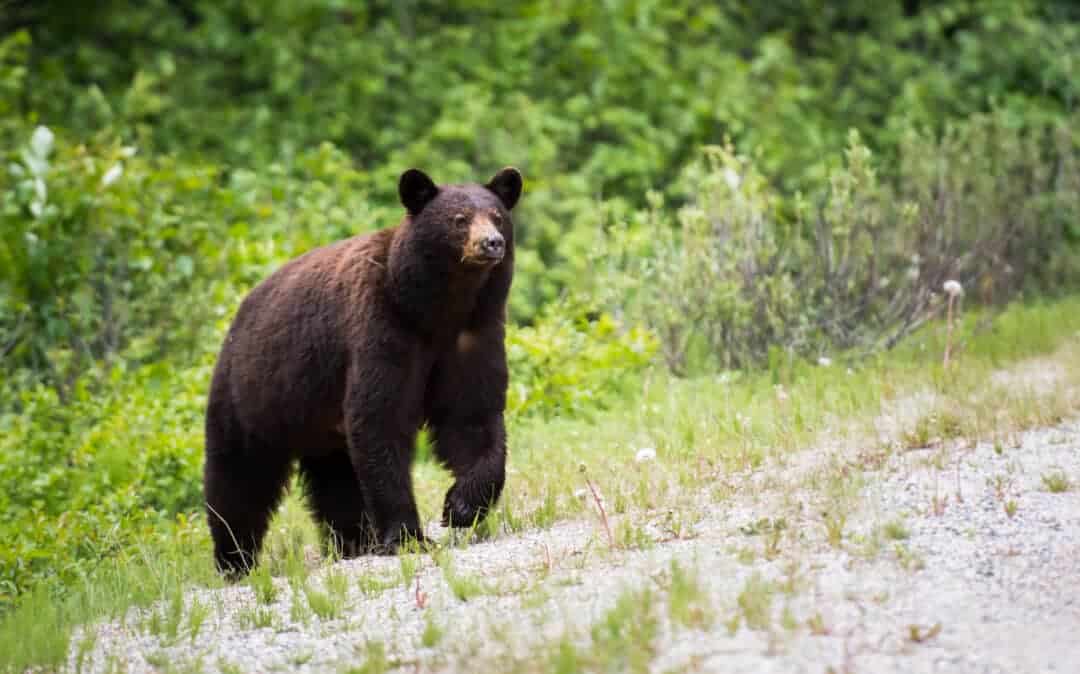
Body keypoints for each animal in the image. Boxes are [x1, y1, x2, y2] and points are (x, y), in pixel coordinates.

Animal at [202, 167, 522, 577]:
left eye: (497, 216)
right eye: (459, 219)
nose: (491, 243)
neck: (435, 309)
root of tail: (236, 317)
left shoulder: (473, 336)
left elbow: (472, 417)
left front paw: (460, 507)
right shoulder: (382, 329)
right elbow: (380, 418)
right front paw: (407, 536)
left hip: (318, 422)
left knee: (335, 479)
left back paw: (353, 542)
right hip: (253, 397)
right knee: (239, 477)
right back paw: (235, 559)